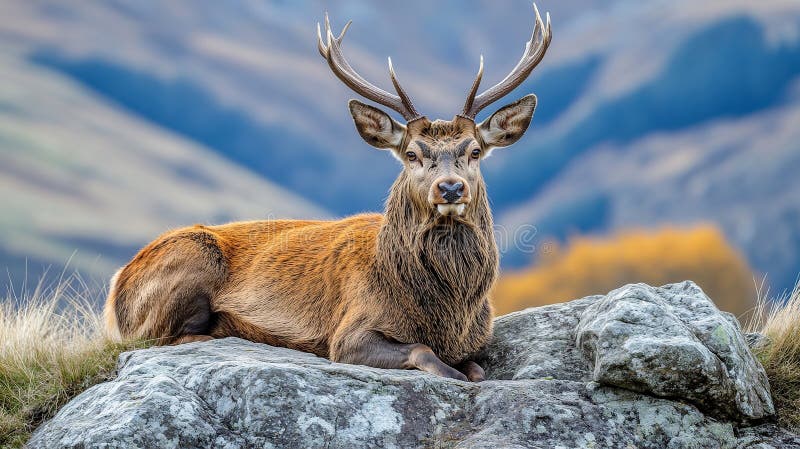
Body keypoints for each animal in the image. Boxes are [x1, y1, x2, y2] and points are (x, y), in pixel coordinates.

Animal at [103, 3, 551, 382]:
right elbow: (423, 351)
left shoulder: (477, 339)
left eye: (474, 151)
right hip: (187, 265)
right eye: (411, 153)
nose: (451, 187)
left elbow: (476, 369)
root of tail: (117, 286)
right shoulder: (350, 330)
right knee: (154, 338)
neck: (449, 314)